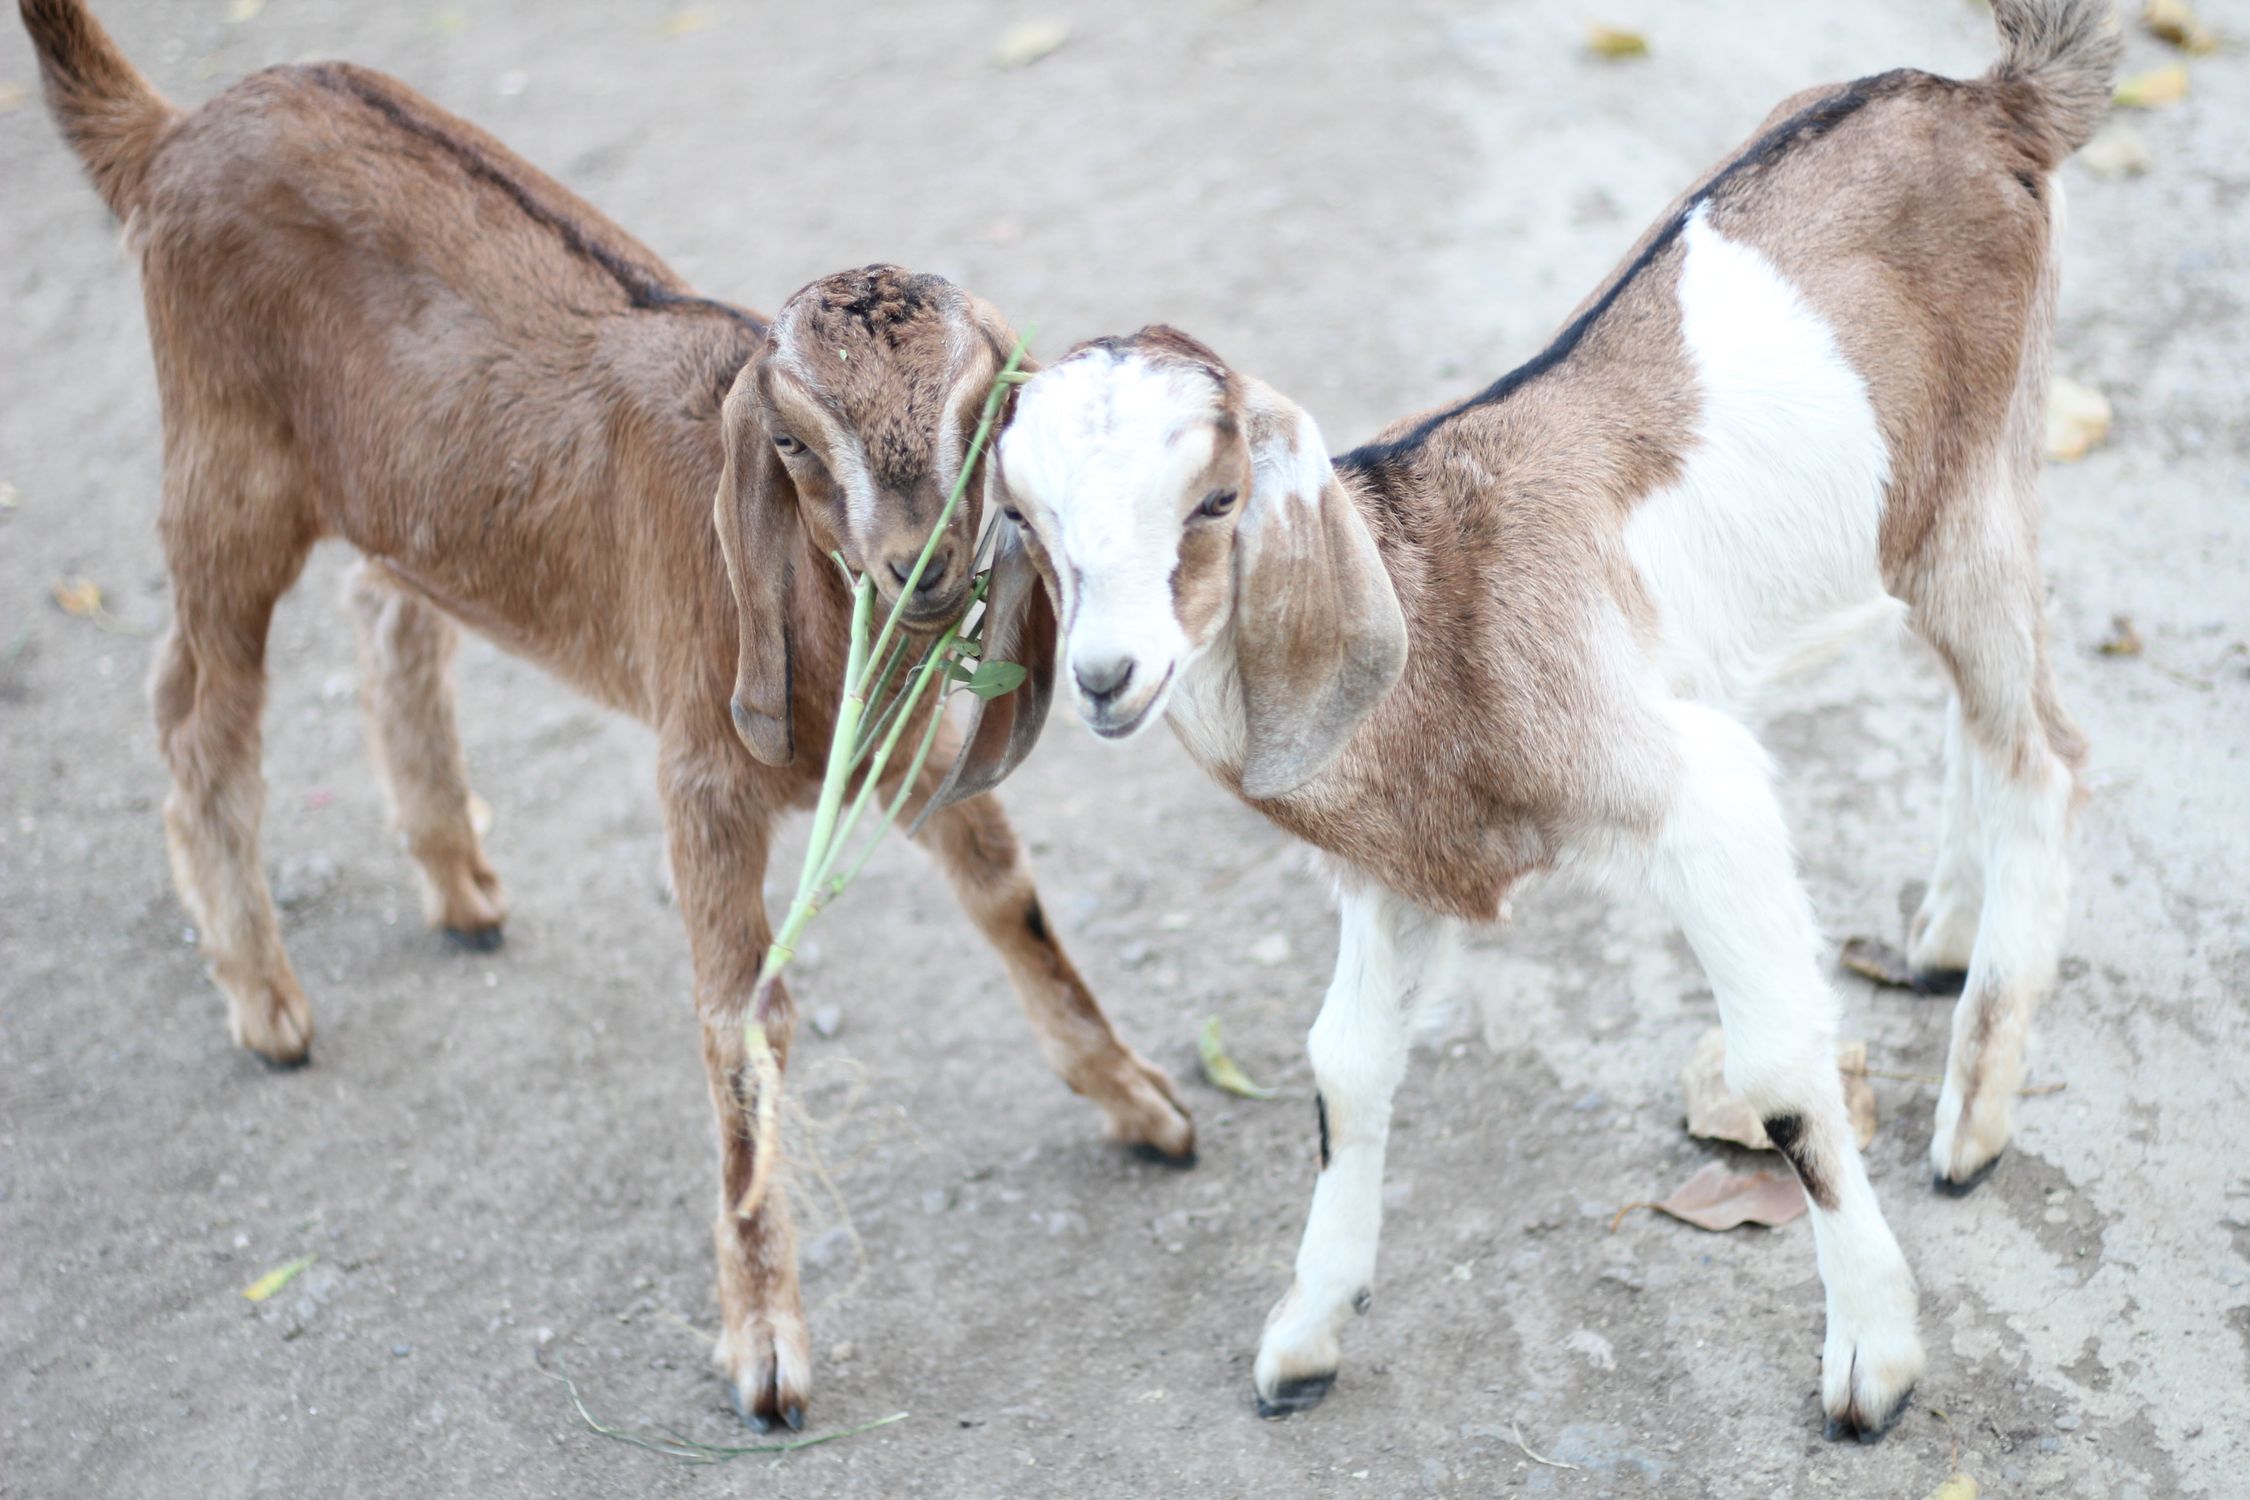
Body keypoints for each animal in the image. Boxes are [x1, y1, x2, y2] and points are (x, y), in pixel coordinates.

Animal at [20, 0, 1193, 1431]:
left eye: (983, 414)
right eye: (793, 444)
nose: (917, 568)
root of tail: (172, 131)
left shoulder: (907, 754)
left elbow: (1008, 899)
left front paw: (1142, 1103)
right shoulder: (703, 772)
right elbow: (742, 1020)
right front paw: (764, 1351)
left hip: (401, 492)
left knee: (391, 604)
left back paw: (458, 881)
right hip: (225, 469)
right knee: (195, 704)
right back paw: (265, 1000)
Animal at [985, 0, 2111, 1438]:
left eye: (1217, 500)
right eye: (1026, 521)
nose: (1105, 675)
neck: (1438, 611)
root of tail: (1990, 98)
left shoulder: (1690, 792)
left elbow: (1778, 1079)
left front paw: (1873, 1359)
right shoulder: (1398, 869)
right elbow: (1343, 1067)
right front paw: (1305, 1336)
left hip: (1975, 487)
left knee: (2042, 753)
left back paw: (1972, 1114)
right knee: (1981, 713)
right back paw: (1941, 935)